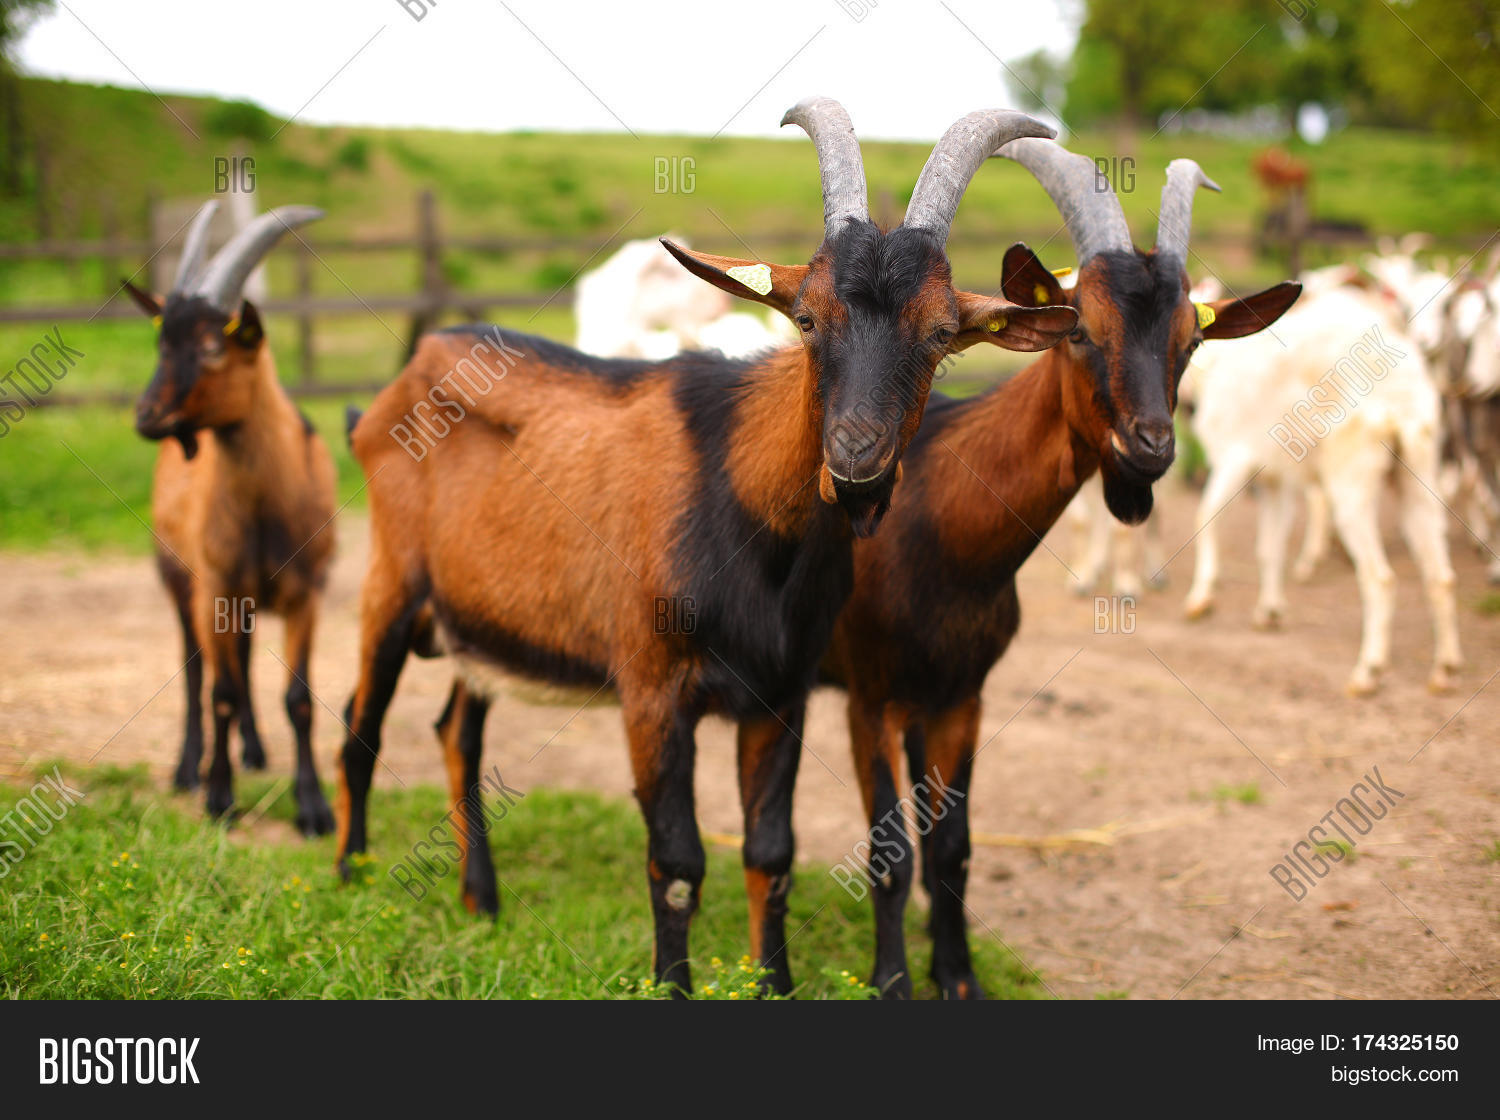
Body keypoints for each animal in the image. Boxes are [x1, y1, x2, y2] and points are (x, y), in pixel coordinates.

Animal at [122, 202, 337, 833]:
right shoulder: (214, 585)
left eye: (213, 347)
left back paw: (256, 749)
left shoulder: (307, 592)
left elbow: (298, 698)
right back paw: (188, 767)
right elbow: (218, 689)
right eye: (161, 343)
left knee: (241, 659)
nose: (147, 415)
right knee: (196, 669)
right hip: (179, 578)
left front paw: (314, 808)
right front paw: (219, 797)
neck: (267, 508)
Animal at [334, 100, 1076, 995]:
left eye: (940, 334)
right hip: (390, 587)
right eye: (806, 318)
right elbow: (678, 861)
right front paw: (672, 983)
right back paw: (349, 875)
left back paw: (482, 899)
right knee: (360, 723)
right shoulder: (654, 690)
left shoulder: (783, 696)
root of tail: (405, 375)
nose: (856, 463)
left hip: (479, 621)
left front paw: (774, 982)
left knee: (456, 732)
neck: (748, 522)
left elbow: (772, 853)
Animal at [816, 140, 1299, 998]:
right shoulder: (867, 697)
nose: (1150, 449)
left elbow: (952, 847)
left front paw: (958, 977)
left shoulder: (961, 696)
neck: (940, 528)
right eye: (1081, 334)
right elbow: (890, 851)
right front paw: (893, 982)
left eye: (1191, 342)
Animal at [1182, 282, 1462, 695]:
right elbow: (1269, 548)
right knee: (1440, 576)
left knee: (1380, 578)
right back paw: (1444, 669)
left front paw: (1201, 600)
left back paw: (1368, 672)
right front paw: (1270, 612)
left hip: (1351, 485)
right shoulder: (1275, 481)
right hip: (1418, 481)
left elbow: (1205, 518)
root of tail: (1401, 398)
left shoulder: (1235, 458)